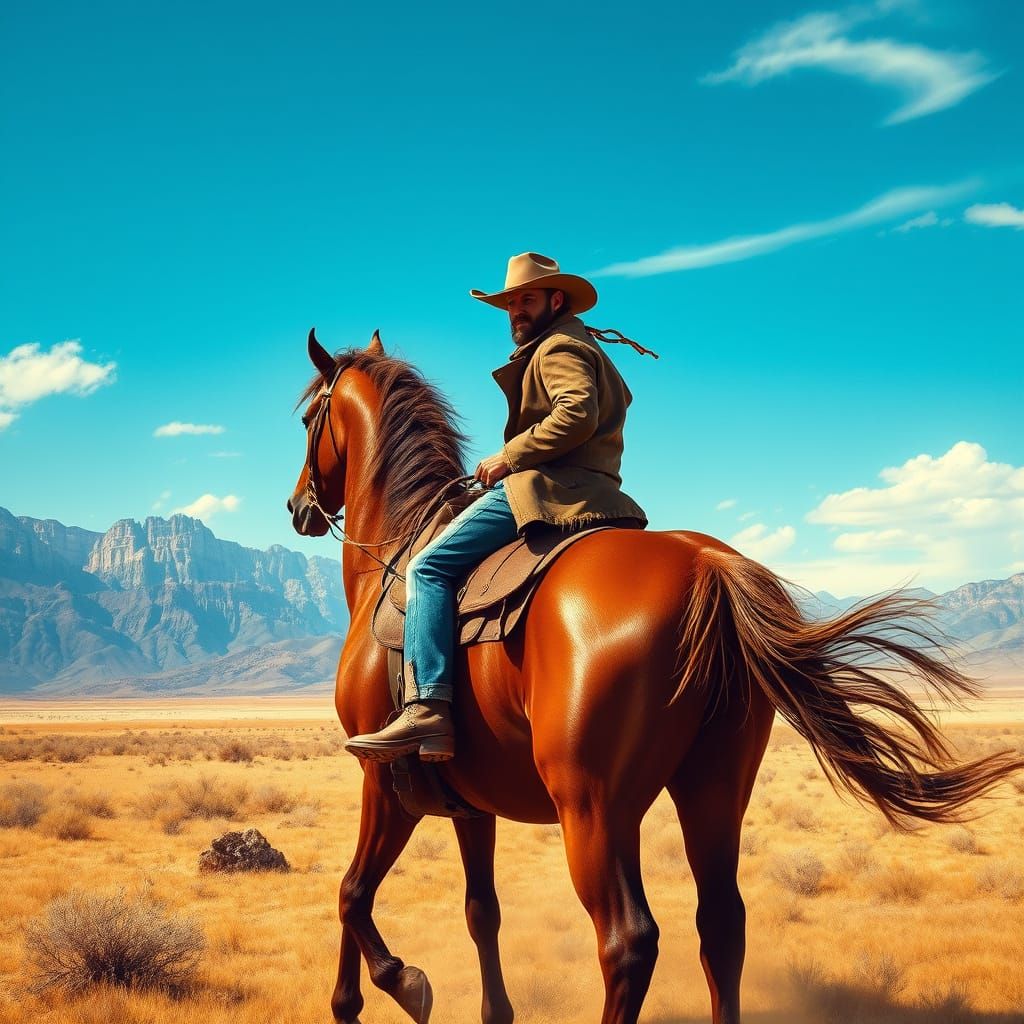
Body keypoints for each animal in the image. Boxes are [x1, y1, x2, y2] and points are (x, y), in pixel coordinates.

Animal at [286, 328, 1022, 1024]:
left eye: (306, 419)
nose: (297, 506)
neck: (394, 557)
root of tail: (707, 566)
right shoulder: (469, 800)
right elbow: (480, 909)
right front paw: (488, 1010)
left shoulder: (382, 775)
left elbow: (351, 893)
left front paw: (387, 989)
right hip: (712, 787)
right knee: (722, 926)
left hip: (592, 807)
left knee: (629, 941)